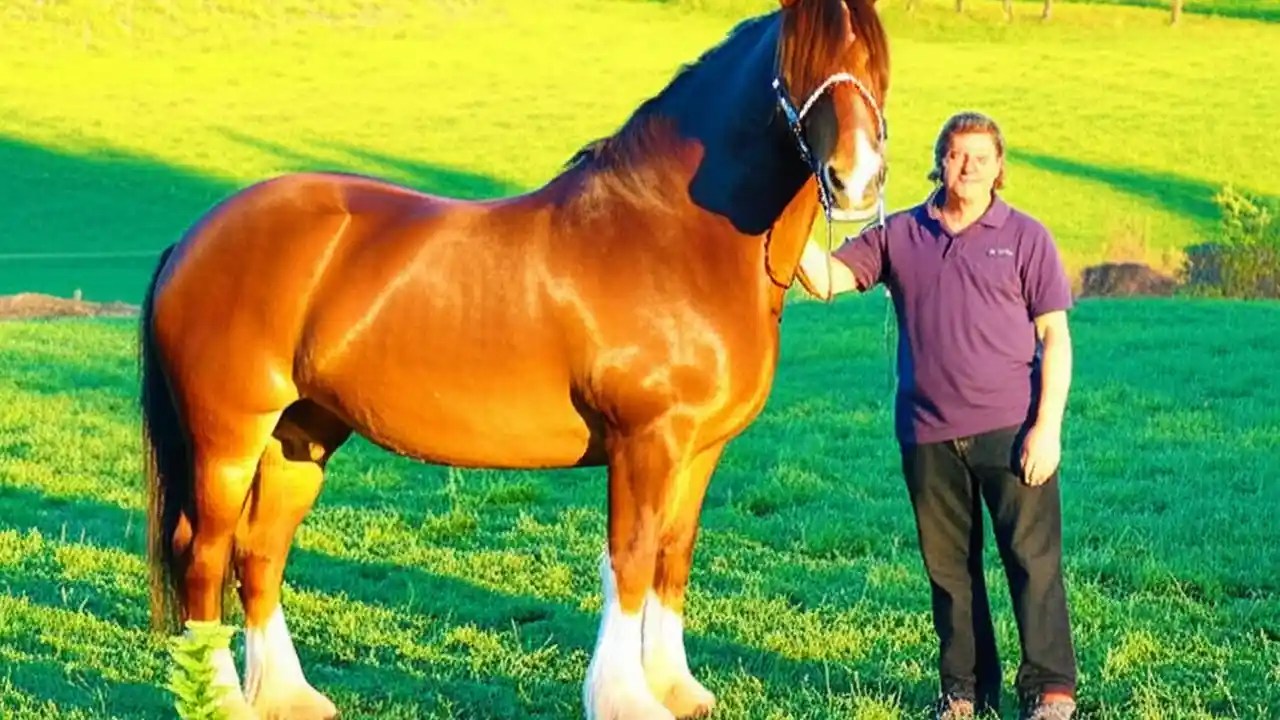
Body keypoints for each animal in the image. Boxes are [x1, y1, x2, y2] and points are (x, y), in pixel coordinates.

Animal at [139, 1, 890, 718]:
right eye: (799, 61)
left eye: (877, 62)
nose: (854, 181)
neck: (670, 235)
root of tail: (193, 238)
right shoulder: (646, 442)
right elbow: (631, 558)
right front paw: (624, 699)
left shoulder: (699, 450)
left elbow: (672, 557)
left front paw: (677, 689)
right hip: (228, 440)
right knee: (204, 554)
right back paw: (223, 702)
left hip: (299, 438)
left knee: (260, 552)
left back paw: (288, 698)